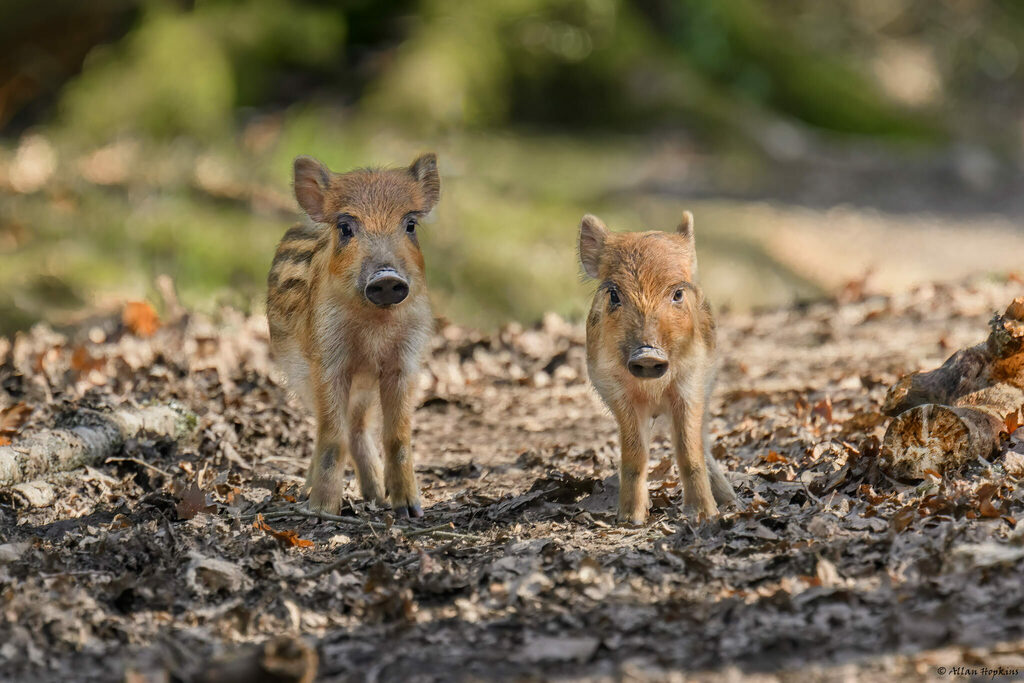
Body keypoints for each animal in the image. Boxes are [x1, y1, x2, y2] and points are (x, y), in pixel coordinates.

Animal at [266, 153, 440, 517]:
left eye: (410, 225)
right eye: (346, 227)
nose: (386, 277)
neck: (375, 330)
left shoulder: (404, 362)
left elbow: (397, 436)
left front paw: (409, 509)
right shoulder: (327, 361)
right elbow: (333, 436)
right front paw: (322, 511)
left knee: (359, 427)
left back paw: (377, 498)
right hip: (302, 377)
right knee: (333, 429)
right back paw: (307, 495)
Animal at [578, 211, 737, 524]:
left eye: (677, 293)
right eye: (614, 294)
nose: (647, 354)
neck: (653, 389)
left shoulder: (691, 382)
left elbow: (688, 448)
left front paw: (704, 515)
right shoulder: (615, 390)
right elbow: (635, 453)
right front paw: (630, 520)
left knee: (702, 441)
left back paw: (731, 501)